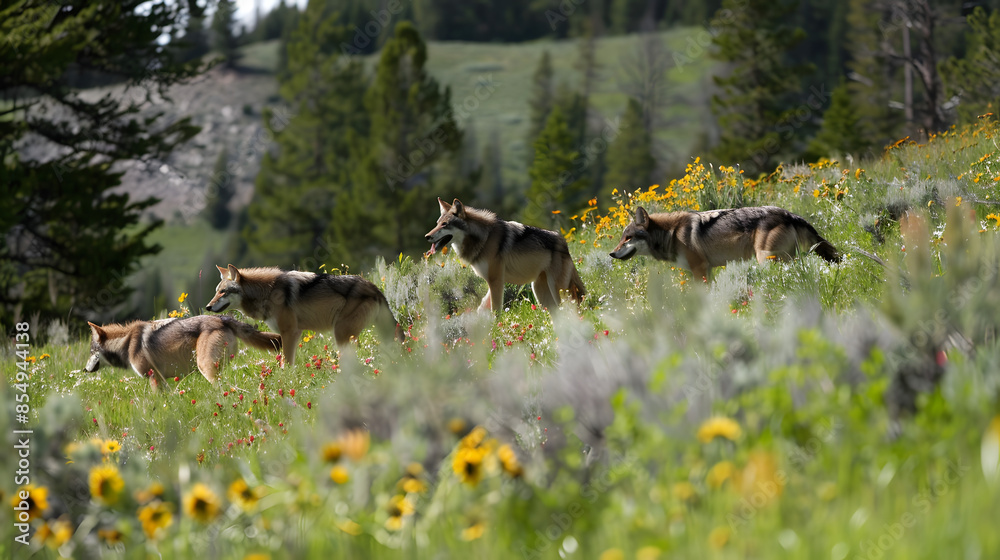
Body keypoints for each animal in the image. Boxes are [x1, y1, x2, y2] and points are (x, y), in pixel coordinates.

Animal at [84, 315, 282, 390]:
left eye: (92, 351)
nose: (84, 370)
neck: (126, 343)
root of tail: (222, 318)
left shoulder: (154, 377)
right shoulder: (163, 381)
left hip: (205, 367)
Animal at [206, 265, 403, 367]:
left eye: (223, 292)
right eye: (216, 291)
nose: (207, 307)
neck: (267, 292)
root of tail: (375, 288)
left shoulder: (289, 332)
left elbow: (286, 362)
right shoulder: (295, 333)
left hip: (340, 333)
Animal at [424, 198, 586, 313]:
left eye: (445, 224)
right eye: (437, 223)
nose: (427, 236)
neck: (483, 239)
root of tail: (564, 244)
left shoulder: (496, 280)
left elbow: (495, 311)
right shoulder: (493, 282)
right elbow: (481, 308)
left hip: (558, 291)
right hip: (540, 293)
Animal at [610, 205, 841, 280]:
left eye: (628, 238)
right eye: (621, 238)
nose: (611, 254)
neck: (672, 234)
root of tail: (789, 214)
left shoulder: (700, 269)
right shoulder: (708, 270)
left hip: (766, 259)